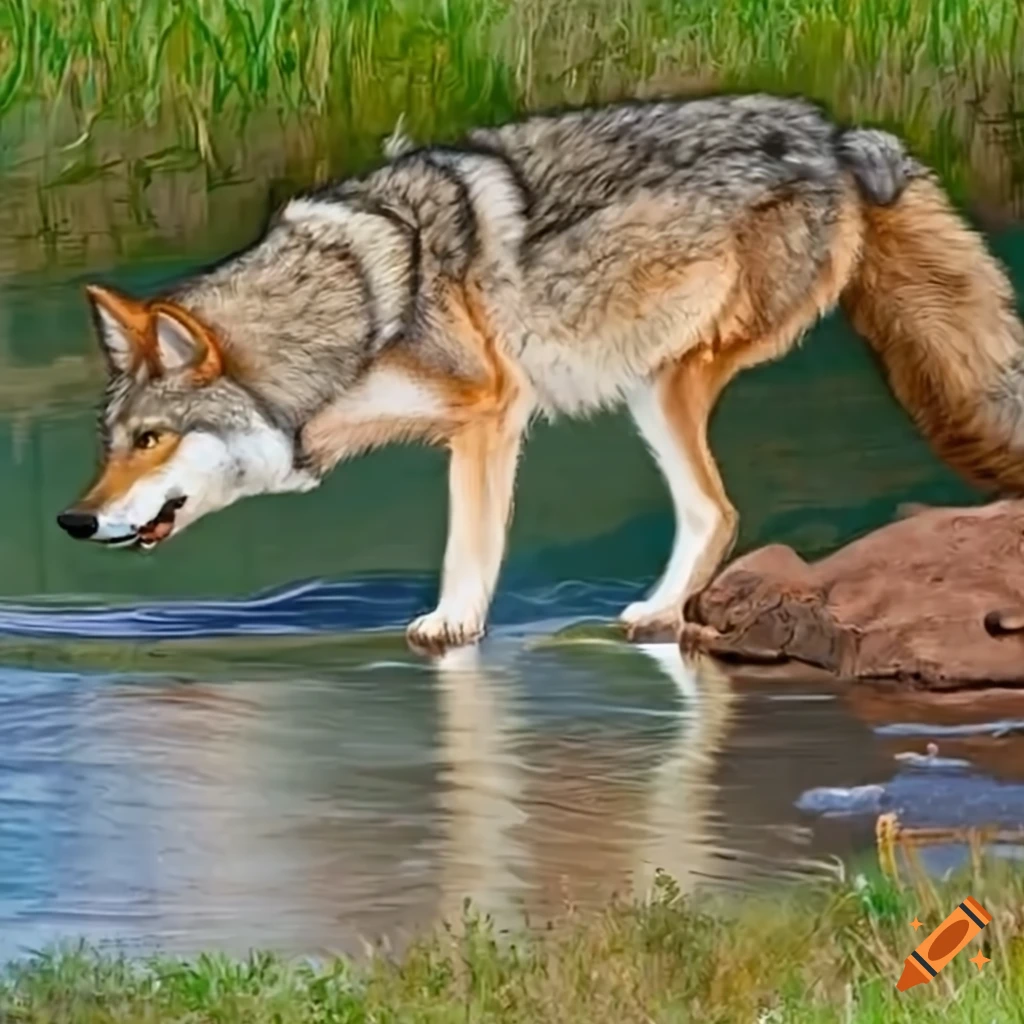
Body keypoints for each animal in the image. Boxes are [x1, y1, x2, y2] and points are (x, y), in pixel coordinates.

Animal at [57, 93, 1024, 651]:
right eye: (110, 443)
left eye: (151, 438)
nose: (72, 521)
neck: (353, 310)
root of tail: (837, 134)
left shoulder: (490, 411)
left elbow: (471, 544)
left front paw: (452, 628)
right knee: (712, 513)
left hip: (659, 384)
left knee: (717, 511)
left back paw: (654, 617)